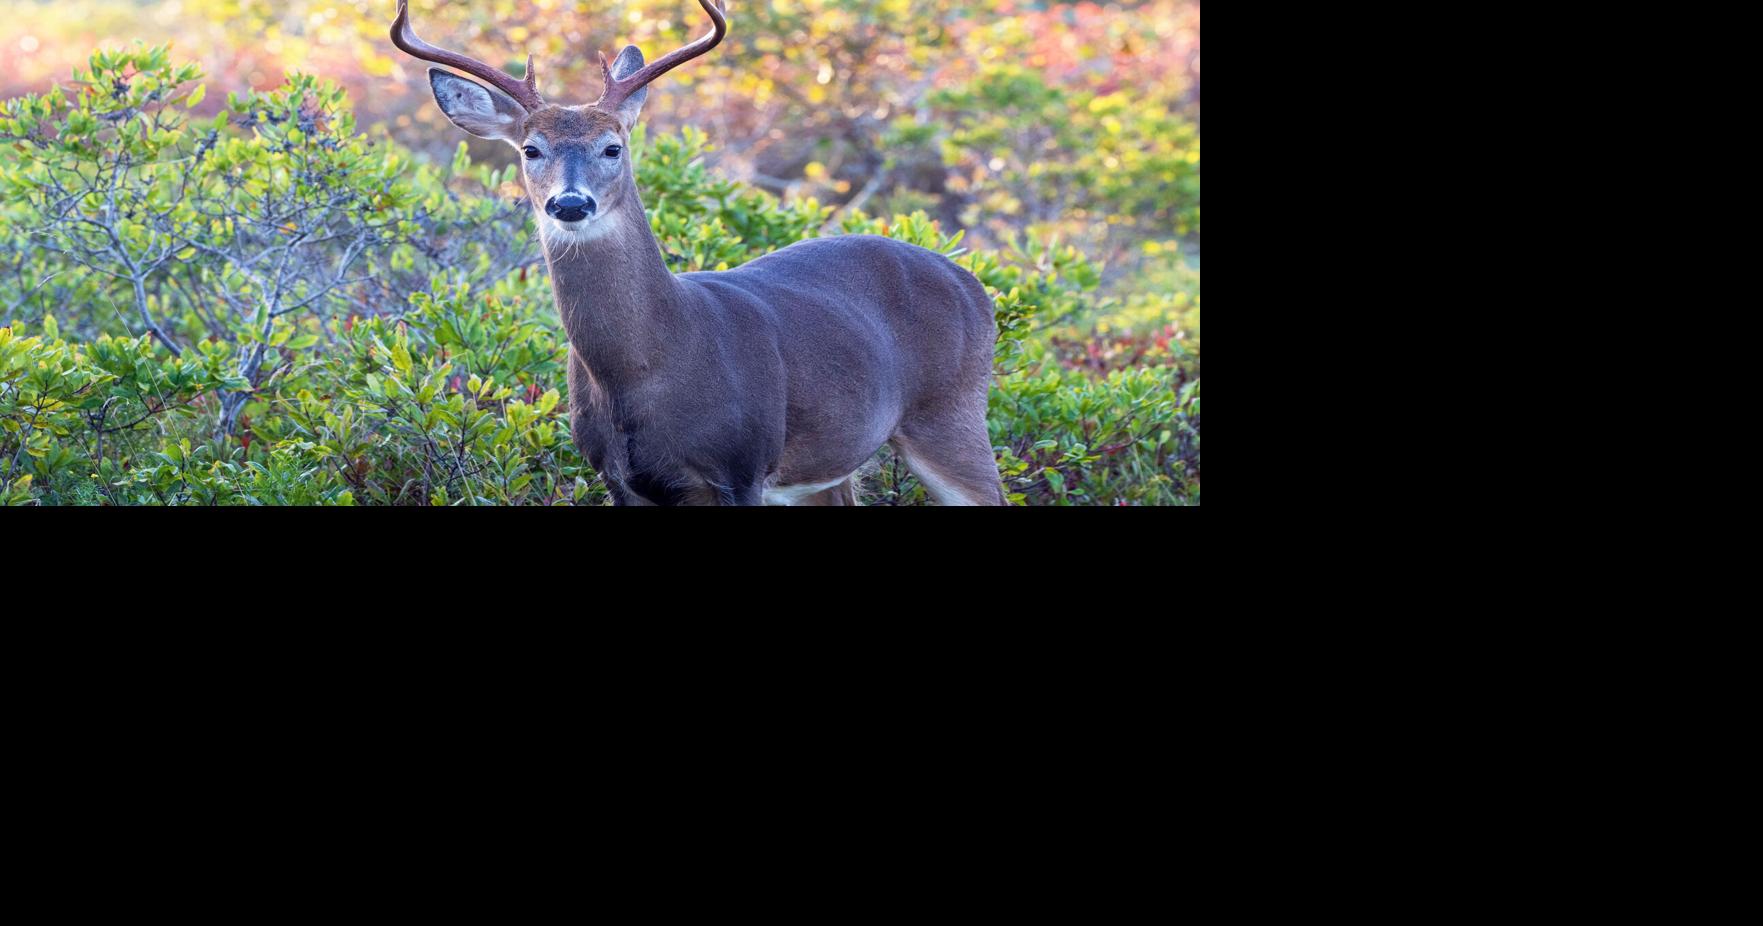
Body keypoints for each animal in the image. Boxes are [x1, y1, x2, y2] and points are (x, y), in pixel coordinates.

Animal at [390, 0, 1005, 505]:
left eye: (613, 147)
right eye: (530, 149)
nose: (569, 203)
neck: (647, 366)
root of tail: (975, 283)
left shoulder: (742, 466)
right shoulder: (618, 478)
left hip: (952, 416)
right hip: (829, 467)